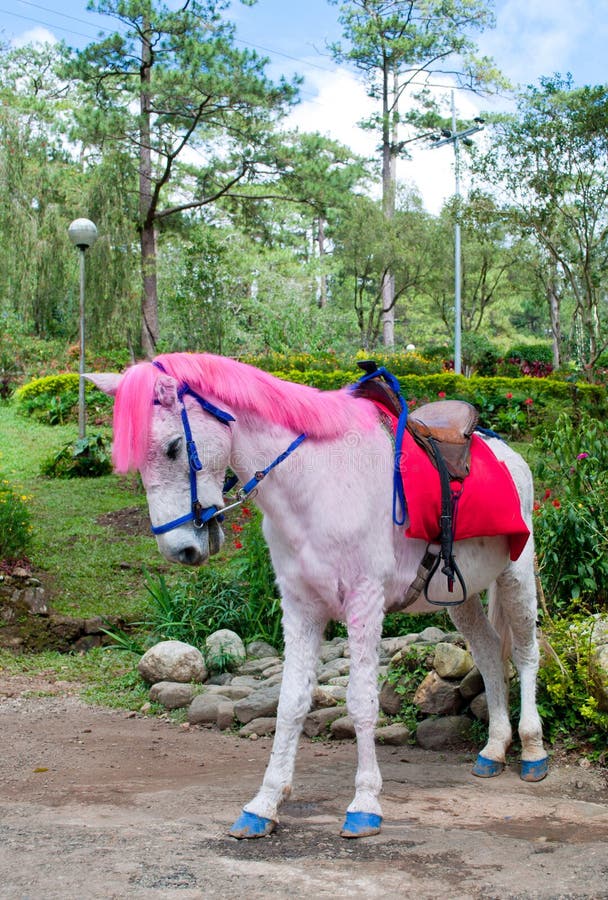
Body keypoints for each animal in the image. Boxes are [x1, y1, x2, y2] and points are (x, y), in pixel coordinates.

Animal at [86, 352, 548, 840]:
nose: (179, 550)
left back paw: (533, 750)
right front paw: (265, 803)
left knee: (524, 654)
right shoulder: (300, 608)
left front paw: (365, 803)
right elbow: (290, 702)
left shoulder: (365, 603)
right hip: (458, 595)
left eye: (175, 446)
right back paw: (494, 748)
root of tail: (505, 451)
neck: (319, 483)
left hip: (515, 576)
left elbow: (362, 702)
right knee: (488, 652)